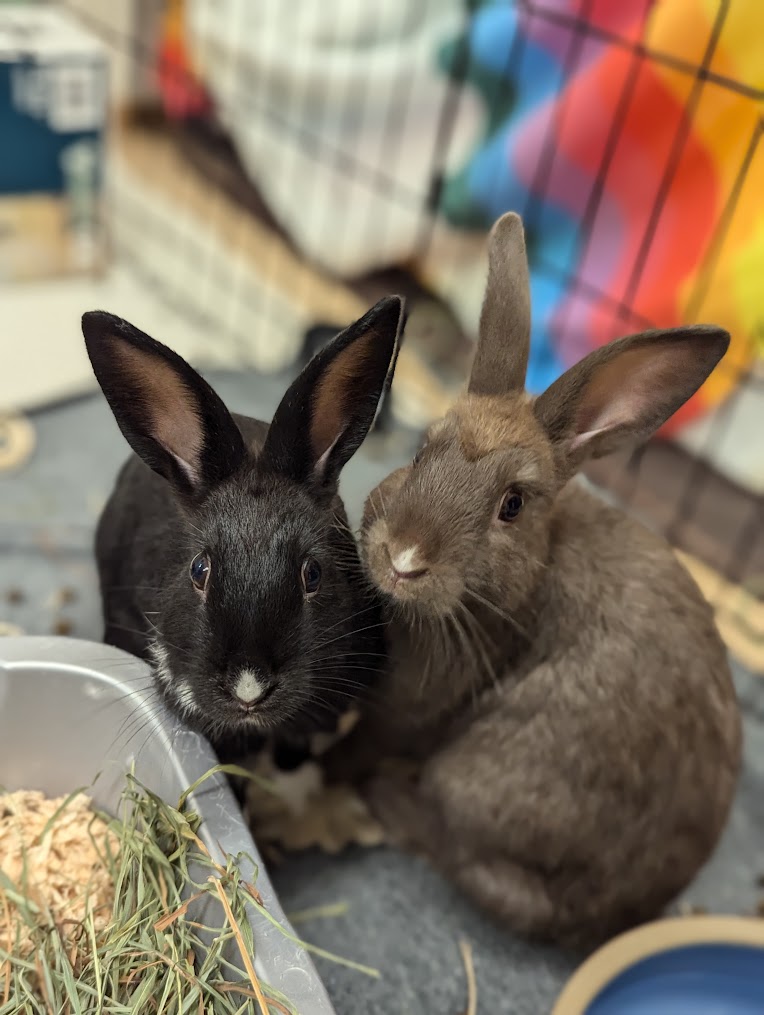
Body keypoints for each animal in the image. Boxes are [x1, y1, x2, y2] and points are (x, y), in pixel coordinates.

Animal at [327, 213, 741, 946]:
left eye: (513, 505)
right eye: (421, 448)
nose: (404, 557)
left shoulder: (403, 711)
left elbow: (363, 743)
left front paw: (331, 775)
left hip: (473, 782)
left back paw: (389, 801)